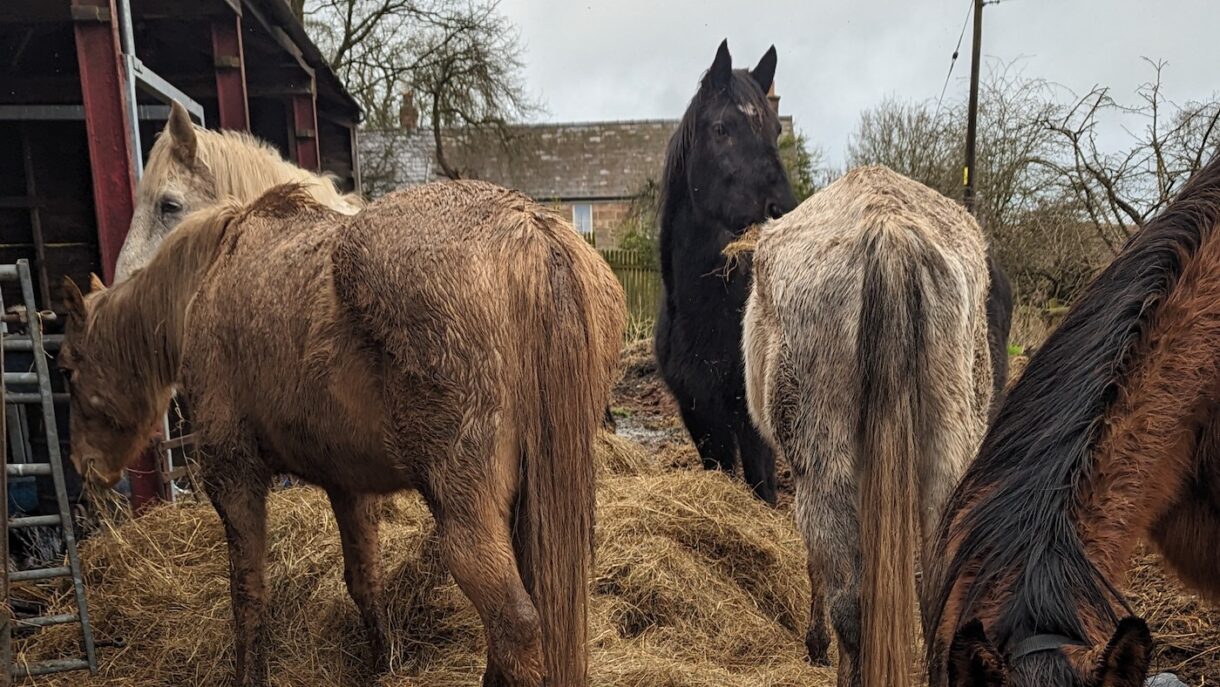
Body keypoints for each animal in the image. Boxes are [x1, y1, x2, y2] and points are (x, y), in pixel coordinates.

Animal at [58, 181, 626, 687]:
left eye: (66, 366)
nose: (84, 467)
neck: (214, 276)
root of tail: (529, 231)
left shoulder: (233, 476)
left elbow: (248, 593)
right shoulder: (348, 486)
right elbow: (364, 580)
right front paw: (383, 663)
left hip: (467, 513)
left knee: (515, 626)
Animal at [655, 39, 797, 505]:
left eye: (775, 131)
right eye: (722, 129)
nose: (783, 208)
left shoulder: (750, 420)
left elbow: (762, 487)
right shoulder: (699, 414)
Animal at [742, 166, 994, 687]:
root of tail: (889, 231)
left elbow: (817, 564)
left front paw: (814, 644)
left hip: (825, 468)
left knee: (851, 605)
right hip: (947, 456)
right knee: (937, 596)